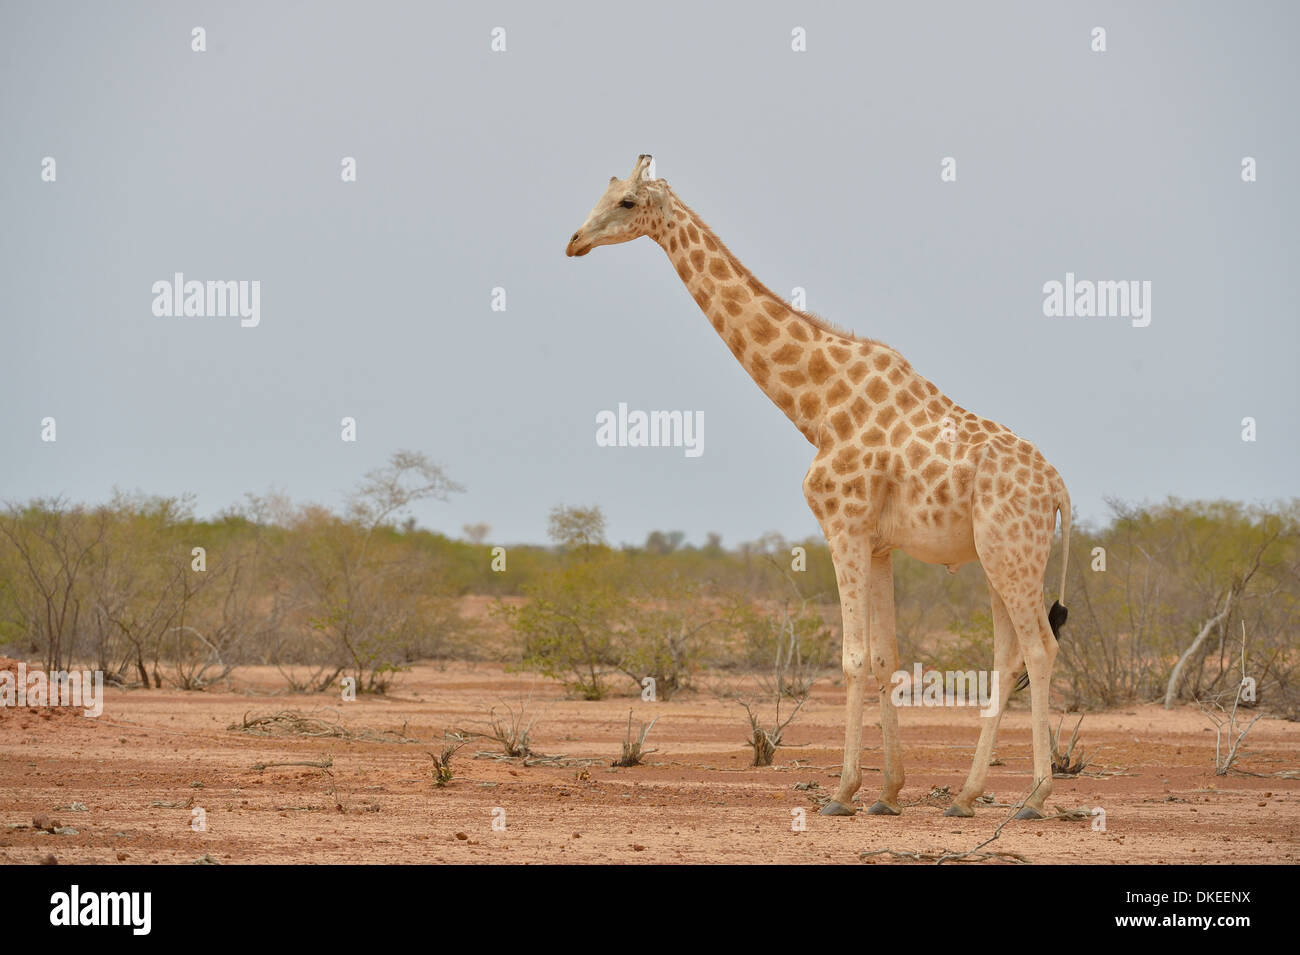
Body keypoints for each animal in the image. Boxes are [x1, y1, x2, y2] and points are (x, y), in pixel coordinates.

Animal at [566, 155, 1071, 819]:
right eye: (603, 193)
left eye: (626, 201)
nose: (574, 241)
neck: (816, 405)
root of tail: (1059, 489)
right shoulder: (878, 543)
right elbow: (884, 657)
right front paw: (887, 793)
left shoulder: (843, 525)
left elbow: (852, 658)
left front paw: (843, 791)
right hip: (999, 557)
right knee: (1009, 654)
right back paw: (965, 797)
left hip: (1013, 552)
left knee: (1039, 649)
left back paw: (1033, 797)